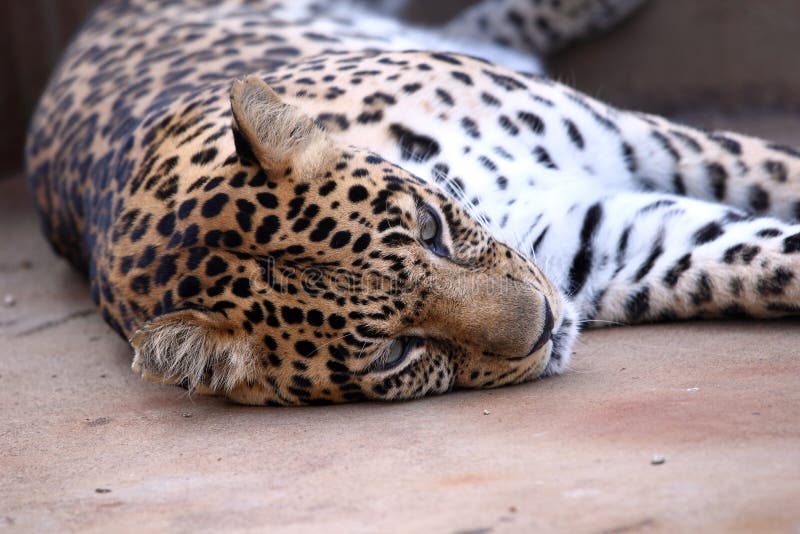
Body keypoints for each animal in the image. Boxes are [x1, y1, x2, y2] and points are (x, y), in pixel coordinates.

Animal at [25, 0, 800, 406]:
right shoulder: (607, 245)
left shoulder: (641, 140)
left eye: (429, 228)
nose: (548, 324)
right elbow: (752, 261)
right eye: (397, 353)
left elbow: (770, 173)